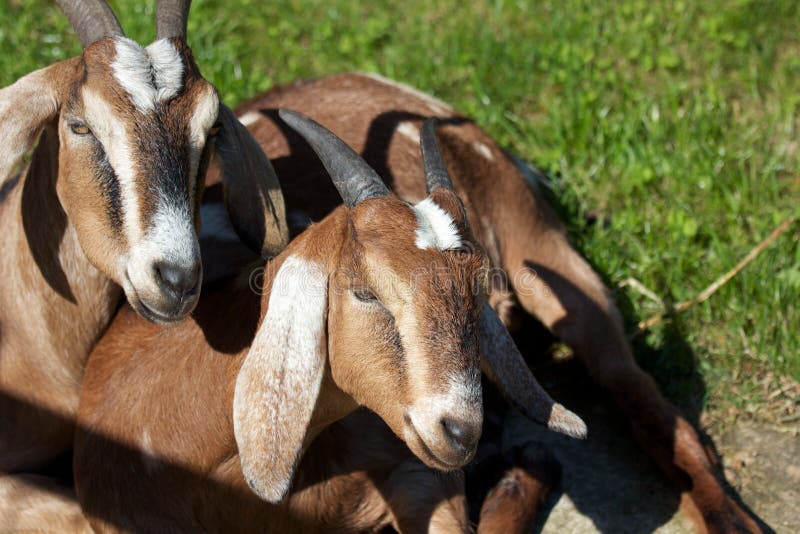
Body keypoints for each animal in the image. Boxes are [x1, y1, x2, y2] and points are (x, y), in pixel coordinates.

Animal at [205, 72, 761, 533]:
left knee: (641, 392)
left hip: (536, 242)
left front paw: (525, 469)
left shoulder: (418, 472)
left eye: (475, 293)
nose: (460, 430)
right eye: (363, 292)